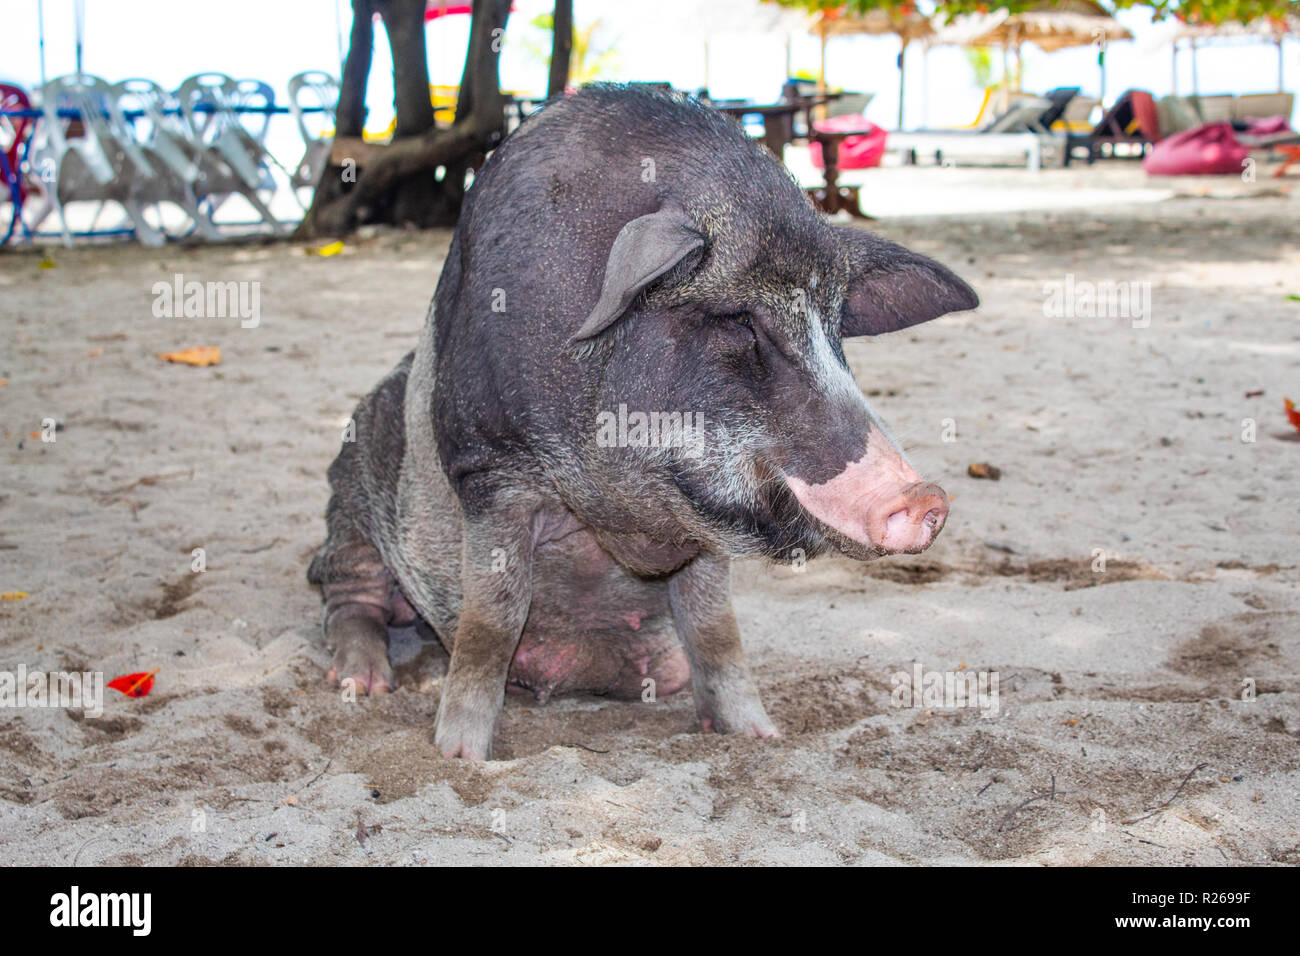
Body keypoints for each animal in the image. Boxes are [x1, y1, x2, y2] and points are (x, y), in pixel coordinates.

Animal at [307, 84, 977, 760]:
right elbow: (492, 618)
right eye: (738, 319)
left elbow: (716, 630)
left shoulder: (703, 525)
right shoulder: (488, 468)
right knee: (348, 596)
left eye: (835, 327)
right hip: (348, 497)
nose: (926, 496)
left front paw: (761, 735)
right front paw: (460, 757)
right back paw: (364, 684)